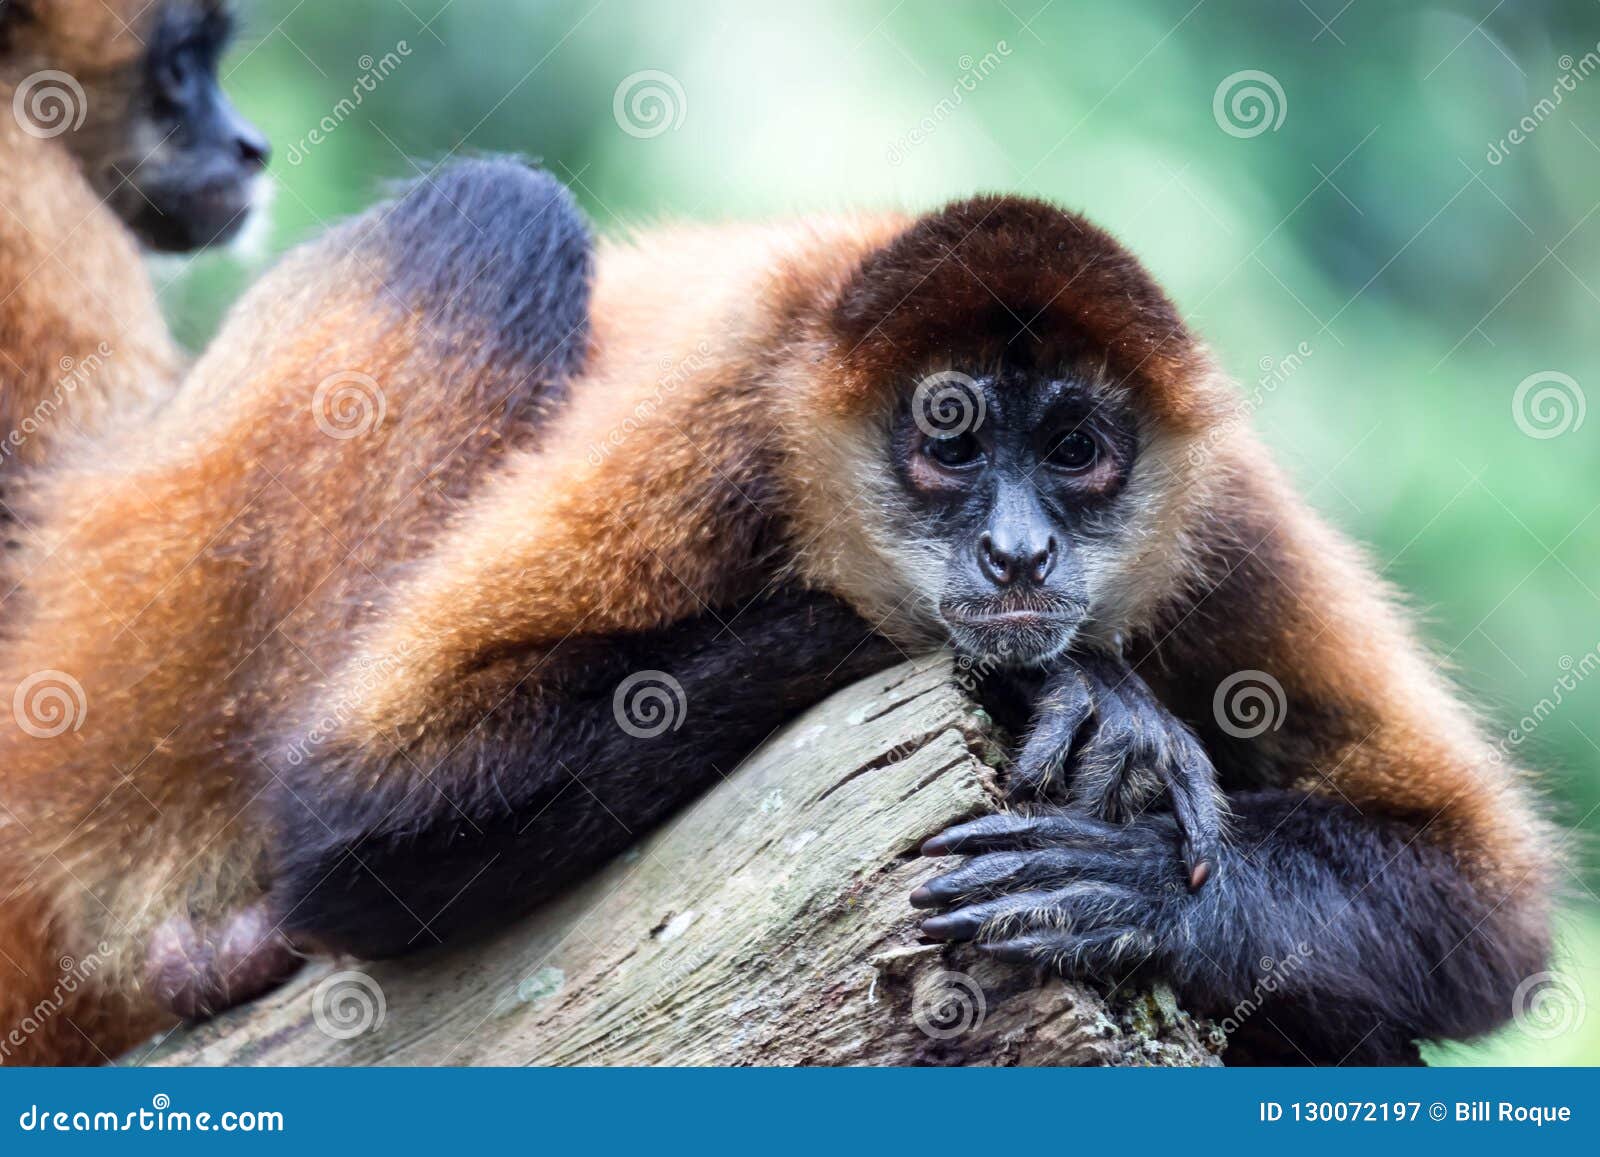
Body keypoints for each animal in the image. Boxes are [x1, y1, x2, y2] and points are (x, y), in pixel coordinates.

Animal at [0, 163, 1551, 1067]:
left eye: (1075, 449)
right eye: (947, 436)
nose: (1018, 553)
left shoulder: (1216, 509)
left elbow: (1488, 916)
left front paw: (1128, 888)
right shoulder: (735, 401)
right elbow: (351, 826)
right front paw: (1087, 693)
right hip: (120, 647)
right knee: (497, 207)